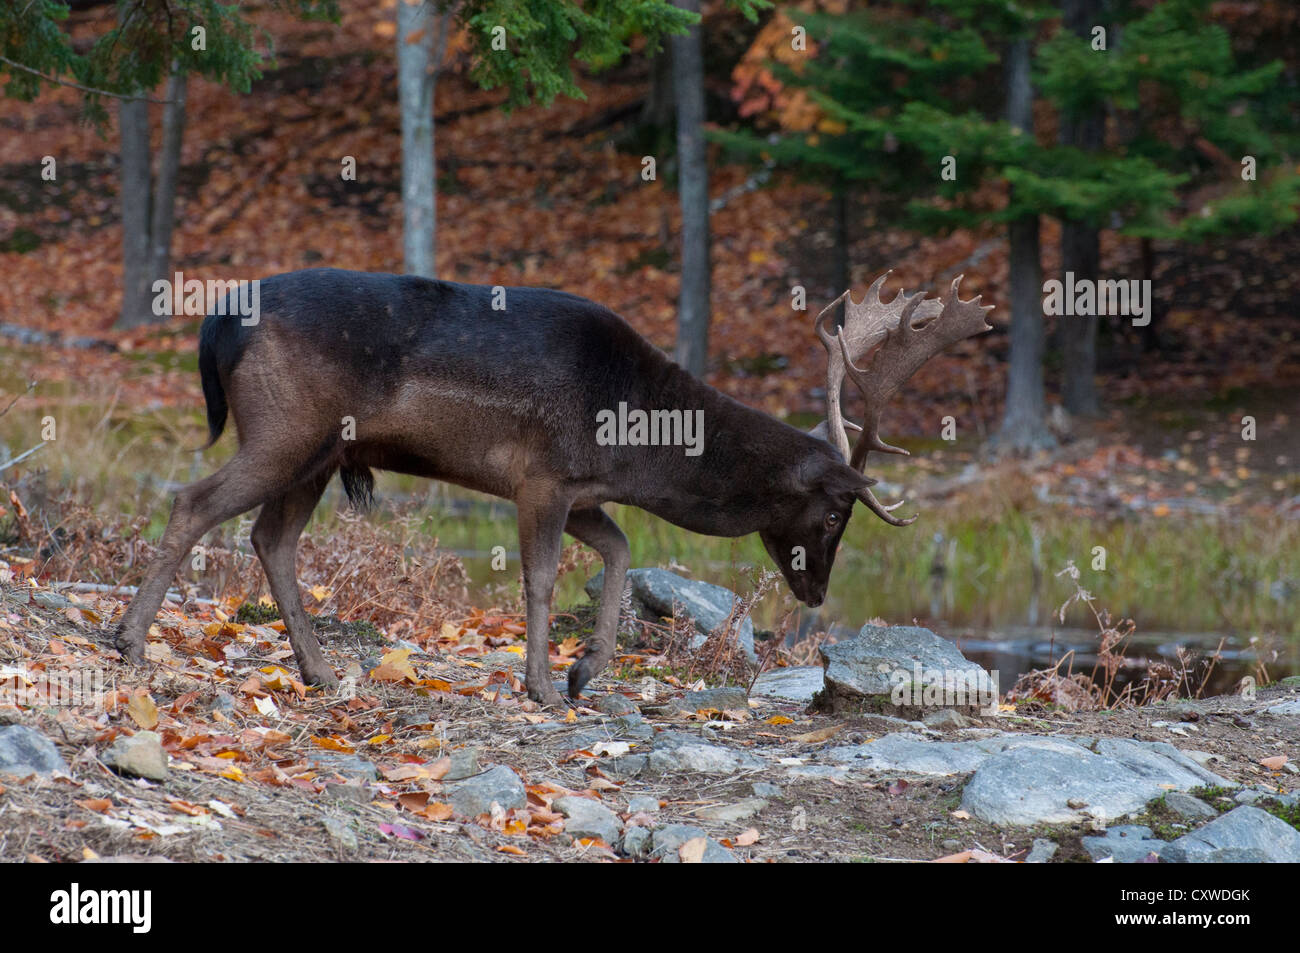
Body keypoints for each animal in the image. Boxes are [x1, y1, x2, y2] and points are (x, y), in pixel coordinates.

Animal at [112, 268, 990, 707]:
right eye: (838, 508)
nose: (817, 592)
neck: (636, 435)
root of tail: (214, 323)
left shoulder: (582, 492)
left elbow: (622, 548)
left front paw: (585, 669)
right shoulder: (539, 477)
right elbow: (538, 579)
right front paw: (540, 683)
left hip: (321, 452)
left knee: (272, 536)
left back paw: (320, 671)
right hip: (286, 427)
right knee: (194, 500)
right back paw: (128, 639)